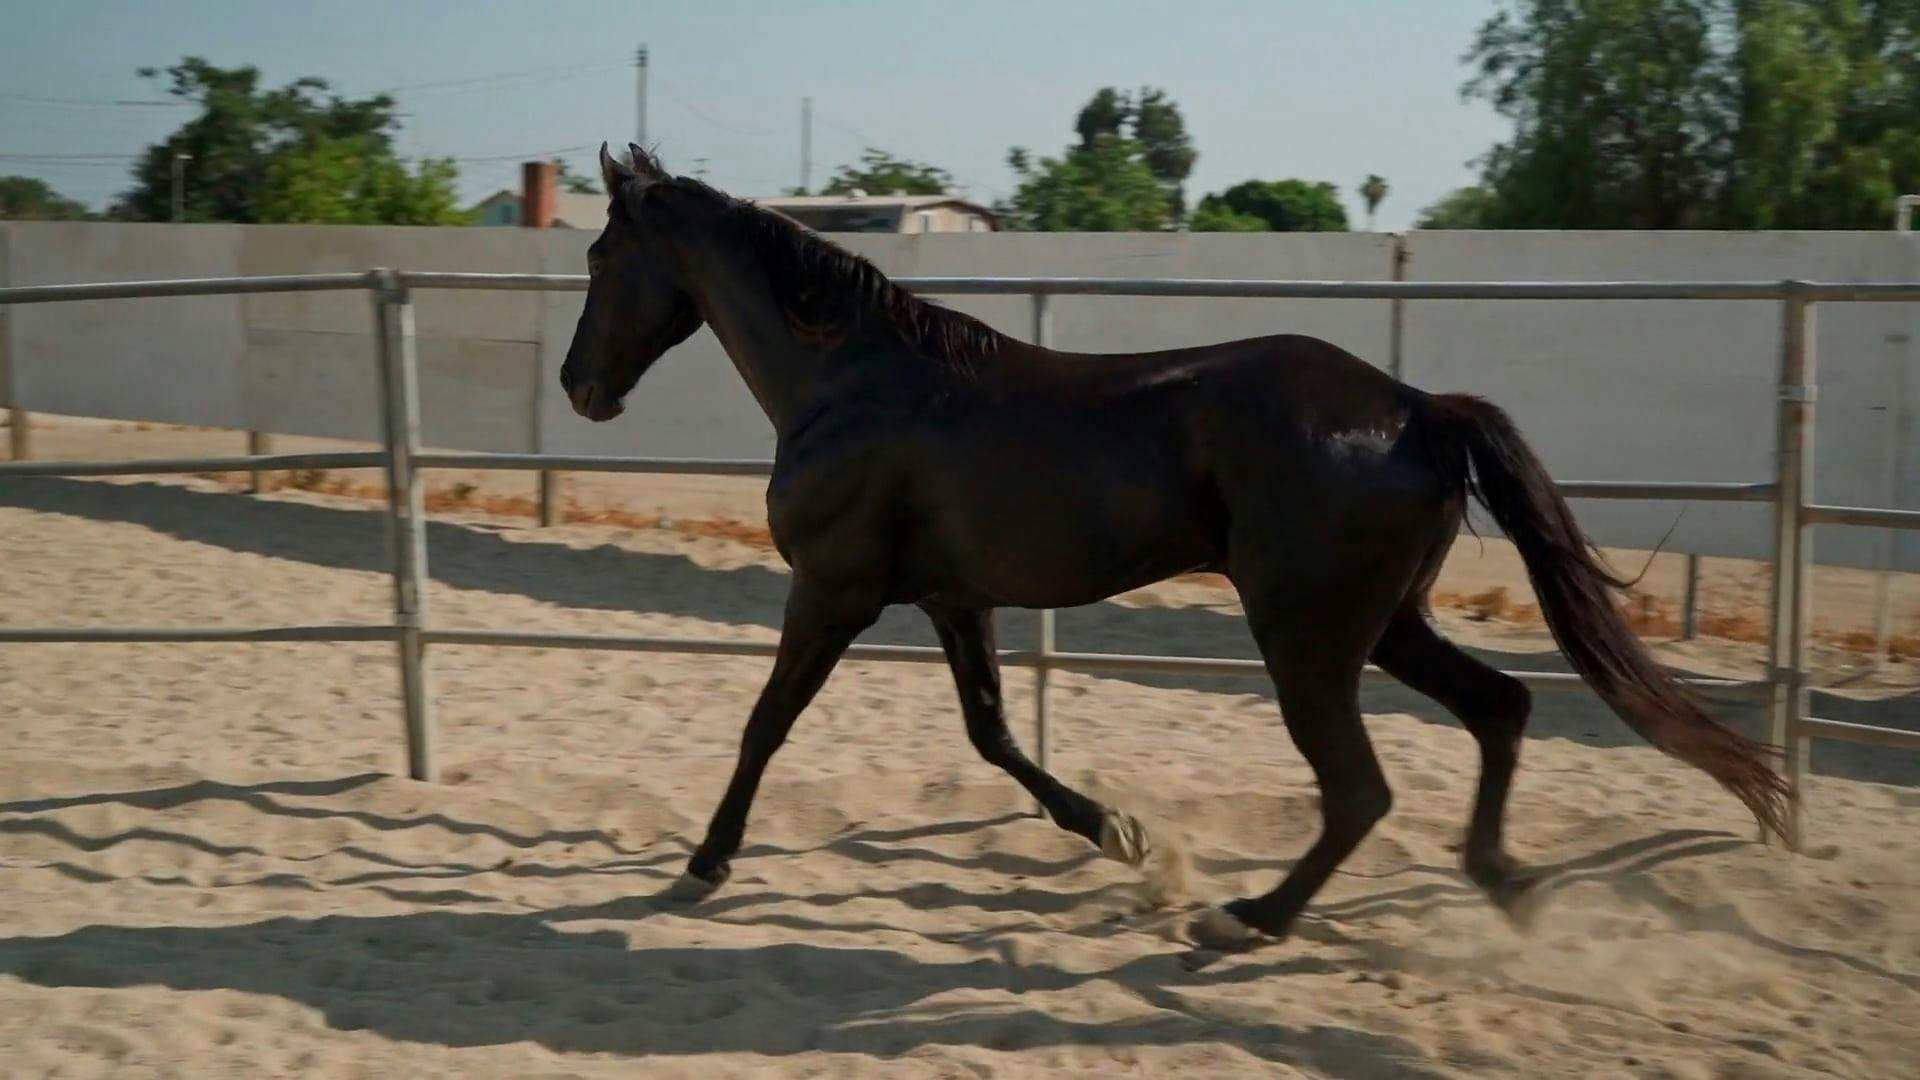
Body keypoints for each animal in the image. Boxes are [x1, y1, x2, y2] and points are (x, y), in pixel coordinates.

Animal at [558, 143, 1788, 951]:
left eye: (600, 255)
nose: (579, 388)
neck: (851, 384)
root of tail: (1414, 410)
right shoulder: (954, 599)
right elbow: (992, 734)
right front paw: (1116, 832)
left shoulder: (834, 589)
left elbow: (766, 722)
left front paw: (705, 862)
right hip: (1387, 625)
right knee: (1501, 709)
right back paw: (1504, 884)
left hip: (1306, 640)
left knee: (1362, 789)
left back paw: (1248, 918)